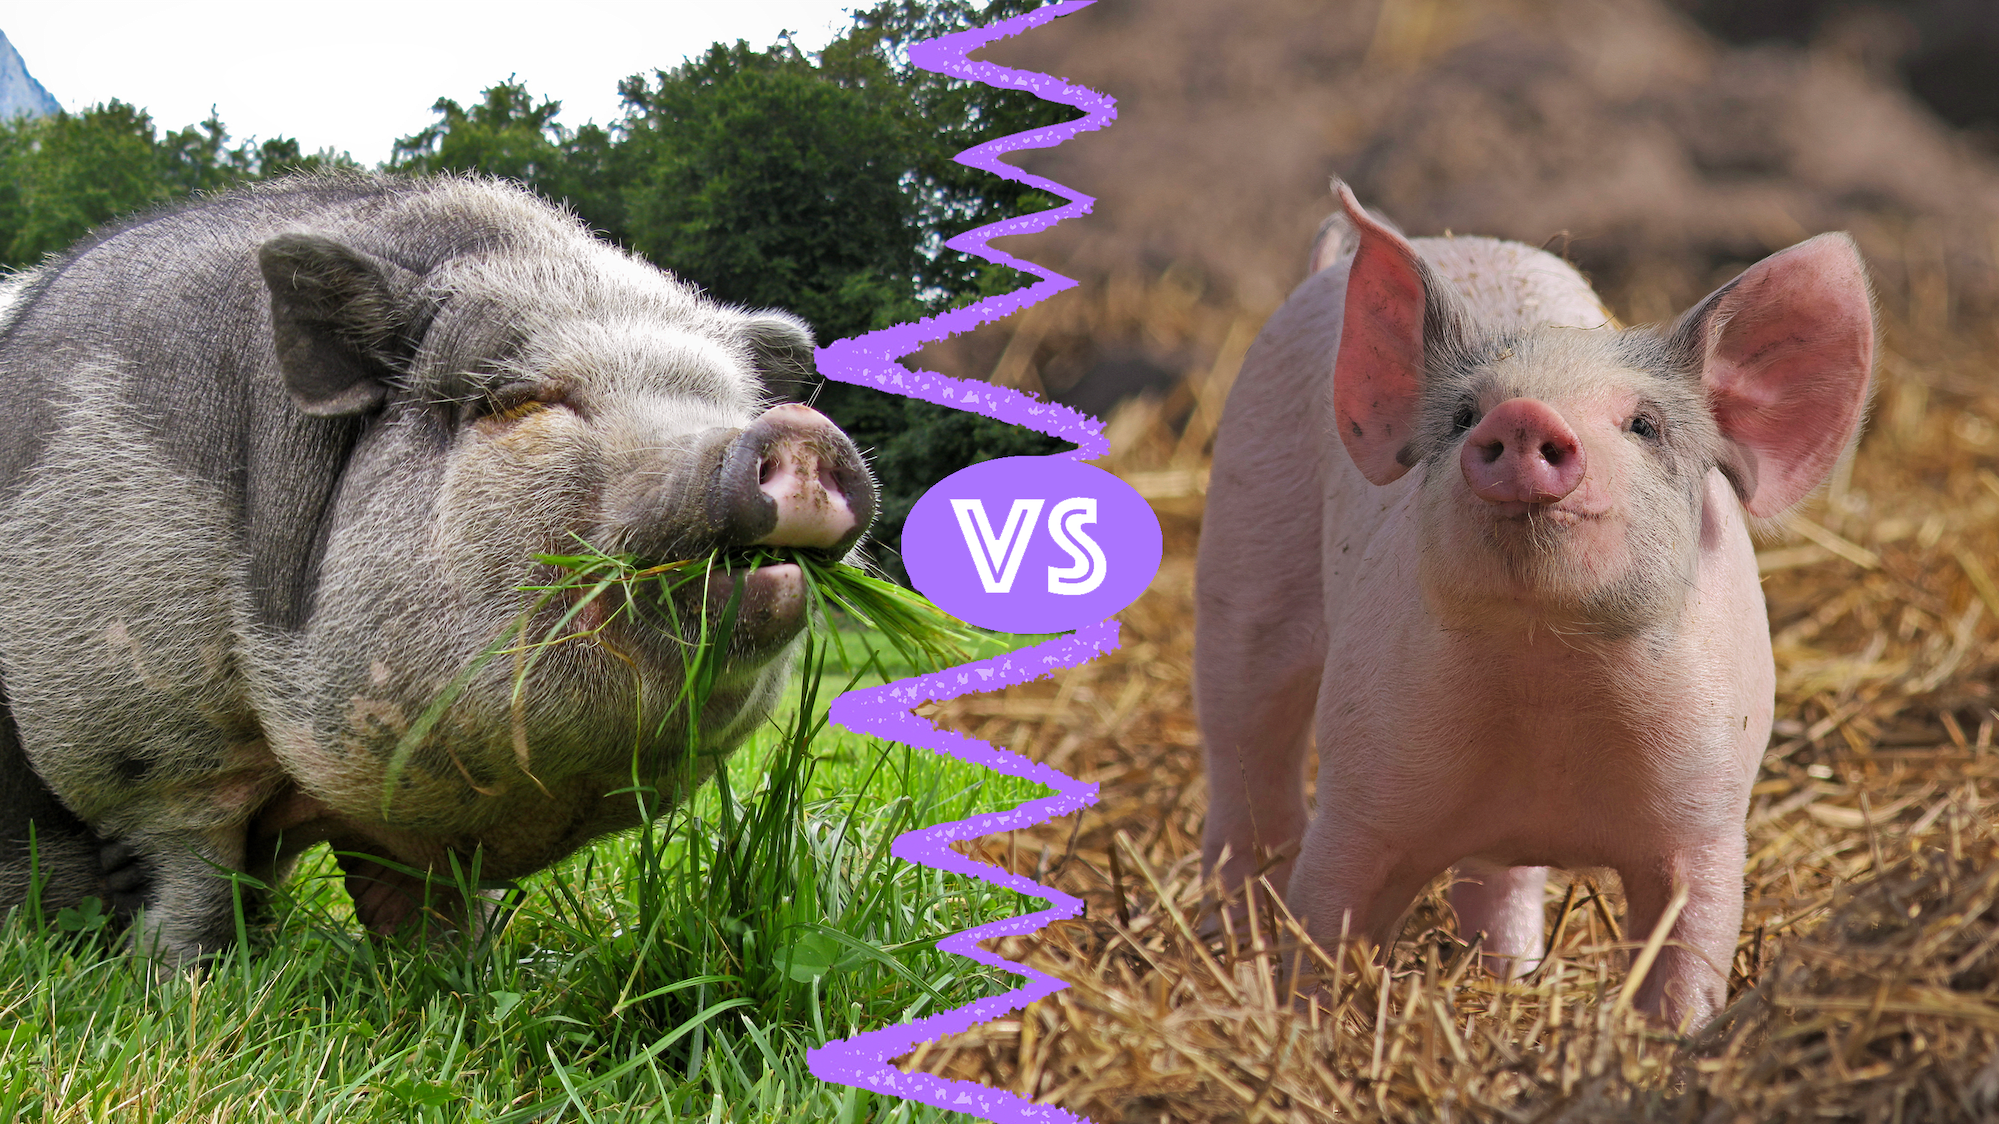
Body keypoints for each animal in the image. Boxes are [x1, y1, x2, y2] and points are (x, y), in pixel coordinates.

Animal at [0, 174, 875, 963]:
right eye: (519, 401)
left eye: (731, 402)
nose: (797, 429)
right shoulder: (150, 740)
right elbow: (195, 885)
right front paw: (191, 988)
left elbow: (433, 914)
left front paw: (462, 986)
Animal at [1196, 183, 1873, 1026]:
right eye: (1461, 416)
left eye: (1644, 424)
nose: (1521, 416)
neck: (1545, 675)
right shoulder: (1360, 794)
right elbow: (1324, 913)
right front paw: (1305, 1023)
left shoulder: (1707, 817)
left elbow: (1690, 947)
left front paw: (1675, 1035)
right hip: (1243, 550)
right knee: (1246, 763)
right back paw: (1231, 945)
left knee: (1497, 879)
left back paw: (1508, 974)